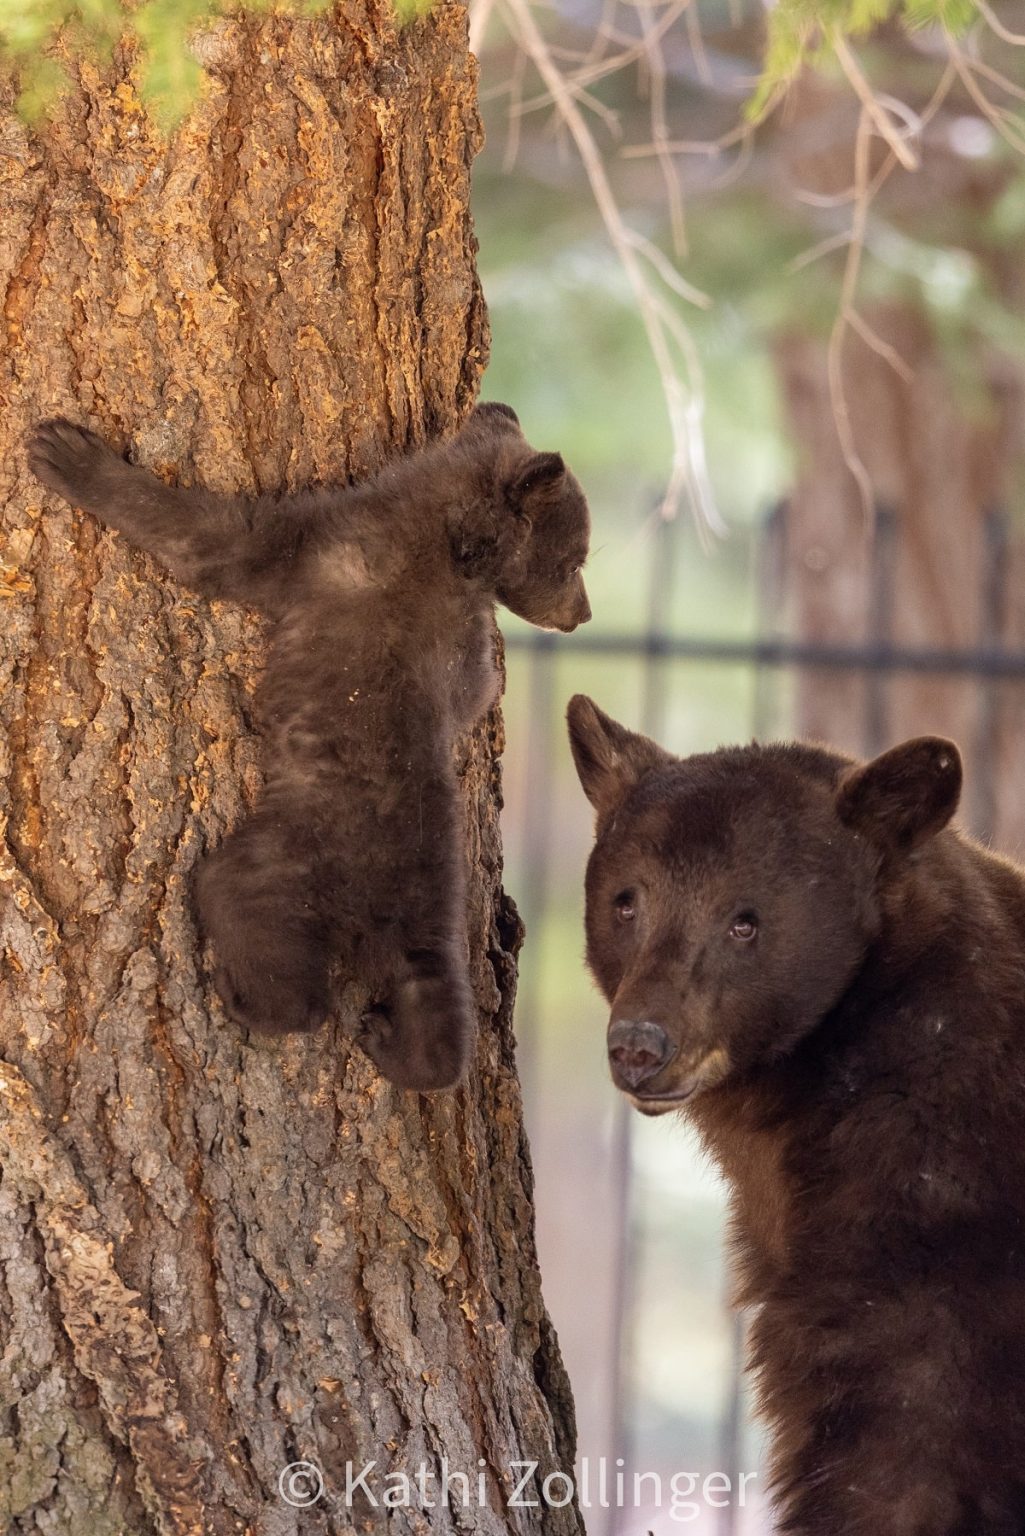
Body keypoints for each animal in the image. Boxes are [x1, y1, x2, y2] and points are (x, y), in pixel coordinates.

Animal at [25, 405, 591, 1090]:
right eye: (575, 562)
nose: (583, 614)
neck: (450, 537)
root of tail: (382, 912)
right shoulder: (460, 643)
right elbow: (474, 689)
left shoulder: (315, 547)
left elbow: (211, 538)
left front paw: (65, 453)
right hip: (428, 914)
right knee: (431, 997)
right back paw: (390, 1038)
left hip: (276, 862)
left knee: (259, 931)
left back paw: (245, 997)